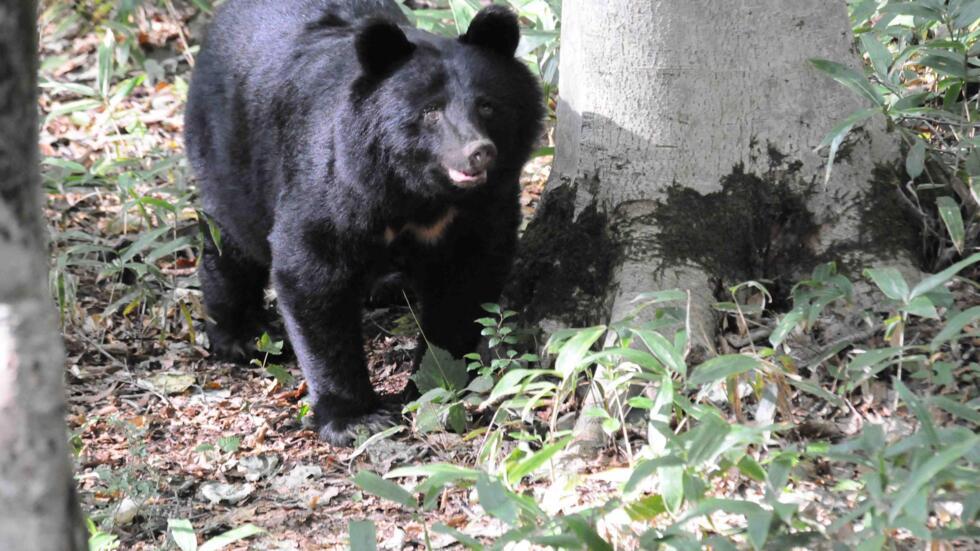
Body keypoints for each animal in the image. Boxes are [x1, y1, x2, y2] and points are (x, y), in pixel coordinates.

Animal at [184, 0, 544, 446]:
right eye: (431, 111)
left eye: (487, 105)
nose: (478, 152)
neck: (421, 194)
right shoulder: (339, 181)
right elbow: (312, 271)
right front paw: (357, 419)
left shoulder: (484, 205)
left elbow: (467, 279)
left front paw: (433, 384)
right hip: (231, 145)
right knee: (231, 240)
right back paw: (240, 335)